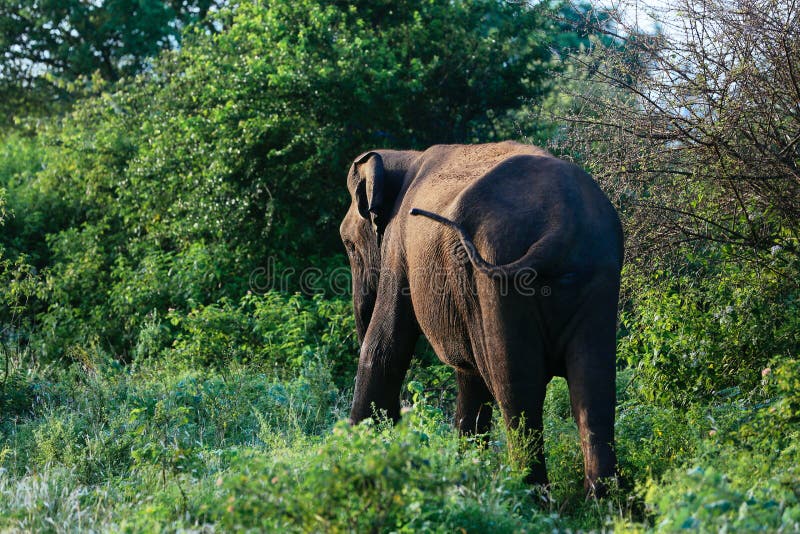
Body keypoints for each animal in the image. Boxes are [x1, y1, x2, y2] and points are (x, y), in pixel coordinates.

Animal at [339, 141, 623, 496]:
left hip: (500, 274)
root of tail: (562, 224)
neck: (404, 157)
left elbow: (385, 345)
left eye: (348, 245)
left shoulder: (398, 247)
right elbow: (469, 373)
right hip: (597, 273)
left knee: (516, 385)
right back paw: (603, 501)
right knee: (593, 381)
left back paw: (528, 495)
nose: (398, 420)